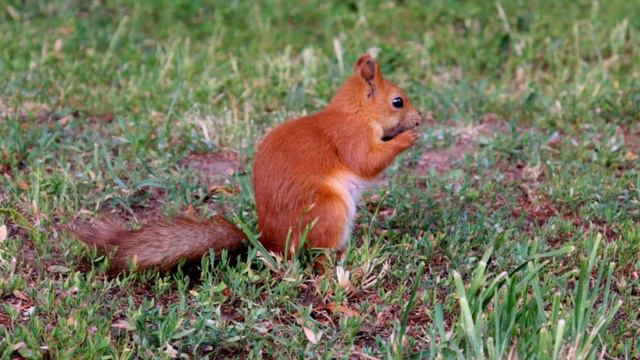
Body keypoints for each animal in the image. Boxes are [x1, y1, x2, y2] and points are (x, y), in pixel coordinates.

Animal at [74, 53, 420, 272]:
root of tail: (271, 243)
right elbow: (366, 161)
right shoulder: (350, 137)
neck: (356, 112)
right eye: (397, 101)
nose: (419, 118)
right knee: (318, 255)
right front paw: (407, 139)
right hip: (329, 210)